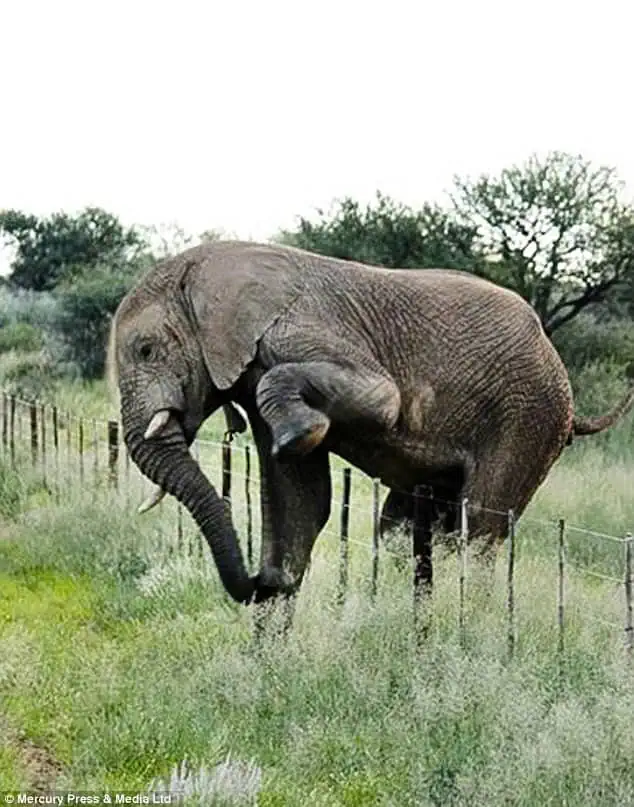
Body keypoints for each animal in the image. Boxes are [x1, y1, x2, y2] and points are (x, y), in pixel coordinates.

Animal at [107, 239, 634, 607]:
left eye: (146, 350)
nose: (262, 582)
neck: (209, 269)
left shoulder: (299, 331)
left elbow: (383, 399)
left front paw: (298, 435)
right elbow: (299, 502)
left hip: (528, 417)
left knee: (481, 530)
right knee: (402, 531)